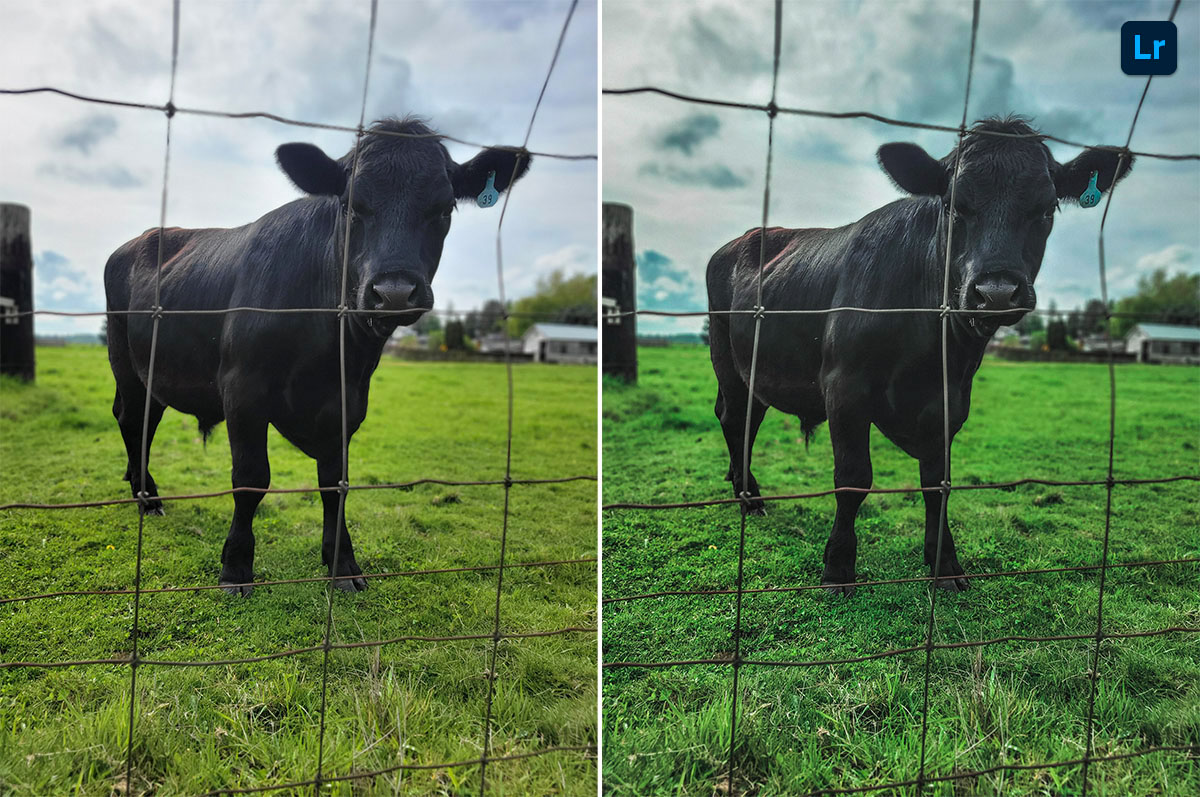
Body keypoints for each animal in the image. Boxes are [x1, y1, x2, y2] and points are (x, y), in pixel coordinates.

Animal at [104, 116, 530, 596]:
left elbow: (335, 483)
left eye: (444, 209)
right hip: (126, 364)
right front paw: (236, 568)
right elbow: (251, 478)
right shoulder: (242, 389)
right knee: (132, 420)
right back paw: (148, 498)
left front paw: (342, 564)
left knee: (144, 423)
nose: (394, 292)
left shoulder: (348, 399)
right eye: (352, 206)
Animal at [706, 116, 1131, 595]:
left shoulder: (949, 399)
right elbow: (853, 479)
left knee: (747, 421)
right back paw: (749, 497)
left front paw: (945, 564)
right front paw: (837, 569)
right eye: (954, 206)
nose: (996, 292)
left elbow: (937, 483)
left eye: (1045, 209)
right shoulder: (844, 387)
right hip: (727, 361)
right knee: (734, 418)